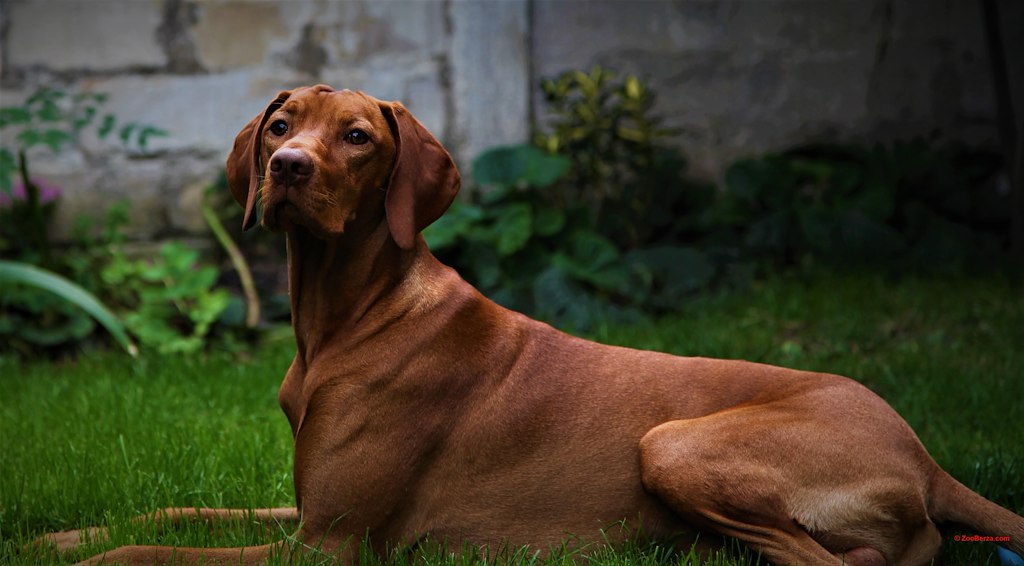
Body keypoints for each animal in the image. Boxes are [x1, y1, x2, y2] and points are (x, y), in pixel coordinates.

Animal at [44, 84, 1019, 564]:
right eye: (281, 124)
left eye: (357, 137)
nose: (285, 166)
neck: (347, 316)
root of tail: (923, 452)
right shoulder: (303, 512)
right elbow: (173, 511)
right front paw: (56, 535)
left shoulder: (328, 545)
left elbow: (148, 552)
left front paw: (89, 558)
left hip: (673, 442)